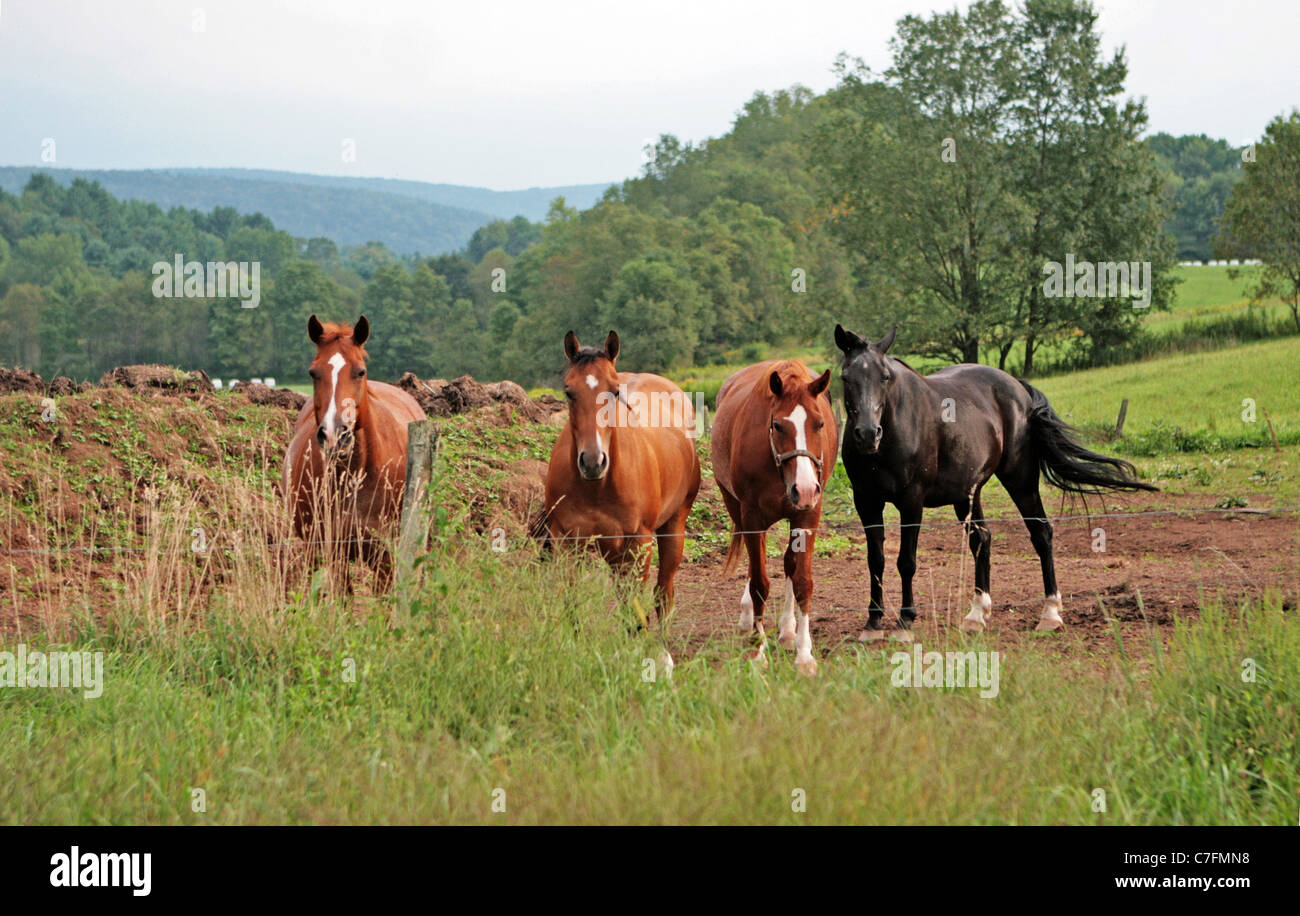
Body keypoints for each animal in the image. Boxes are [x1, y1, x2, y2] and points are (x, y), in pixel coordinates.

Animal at [542, 330, 701, 669]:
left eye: (614, 392)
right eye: (569, 392)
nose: (592, 461)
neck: (596, 487)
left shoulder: (640, 542)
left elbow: (638, 604)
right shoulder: (565, 541)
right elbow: (572, 600)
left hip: (672, 527)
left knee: (663, 592)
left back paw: (664, 647)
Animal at [711, 359, 839, 675]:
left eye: (819, 424)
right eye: (778, 425)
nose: (804, 488)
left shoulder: (808, 514)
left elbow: (801, 579)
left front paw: (804, 655)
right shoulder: (751, 516)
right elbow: (759, 583)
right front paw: (758, 651)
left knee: (789, 564)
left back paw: (788, 631)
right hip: (733, 504)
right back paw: (749, 620)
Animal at [834, 323, 1158, 639]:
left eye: (885, 377)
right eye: (845, 377)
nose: (867, 433)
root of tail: (1019, 388)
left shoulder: (911, 501)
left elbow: (906, 561)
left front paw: (905, 622)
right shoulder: (866, 502)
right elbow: (875, 560)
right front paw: (873, 623)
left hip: (1020, 479)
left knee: (1041, 533)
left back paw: (1050, 614)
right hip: (967, 492)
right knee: (982, 538)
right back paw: (977, 616)